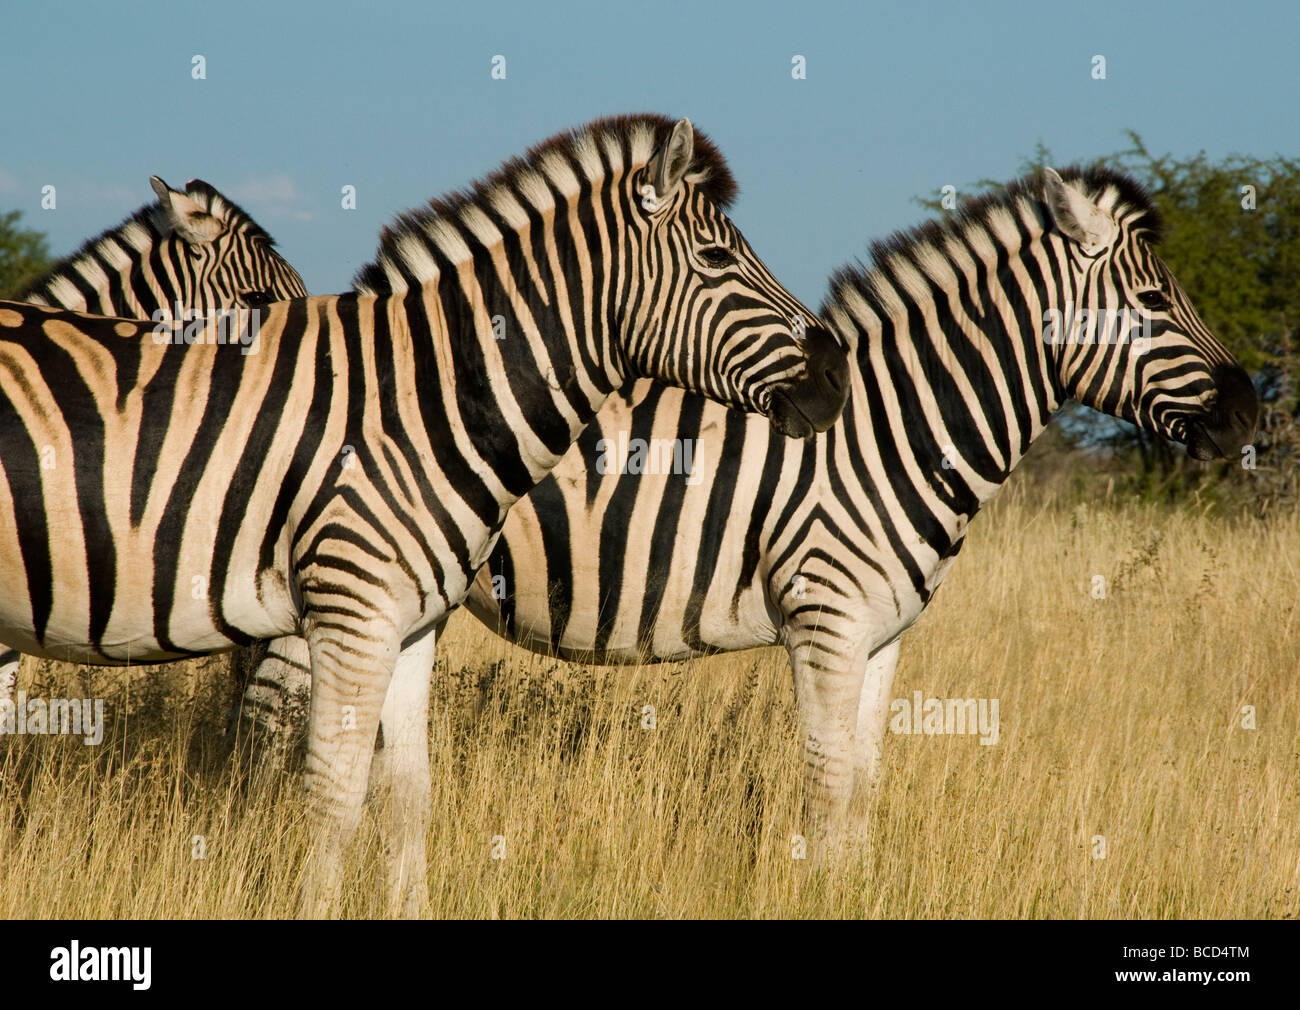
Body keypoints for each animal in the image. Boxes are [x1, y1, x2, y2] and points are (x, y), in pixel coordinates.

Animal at [232, 164, 1258, 858]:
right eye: (1153, 297)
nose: (1251, 409)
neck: (893, 426)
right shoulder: (825, 620)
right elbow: (825, 791)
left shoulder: (882, 636)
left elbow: (863, 790)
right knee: (264, 739)